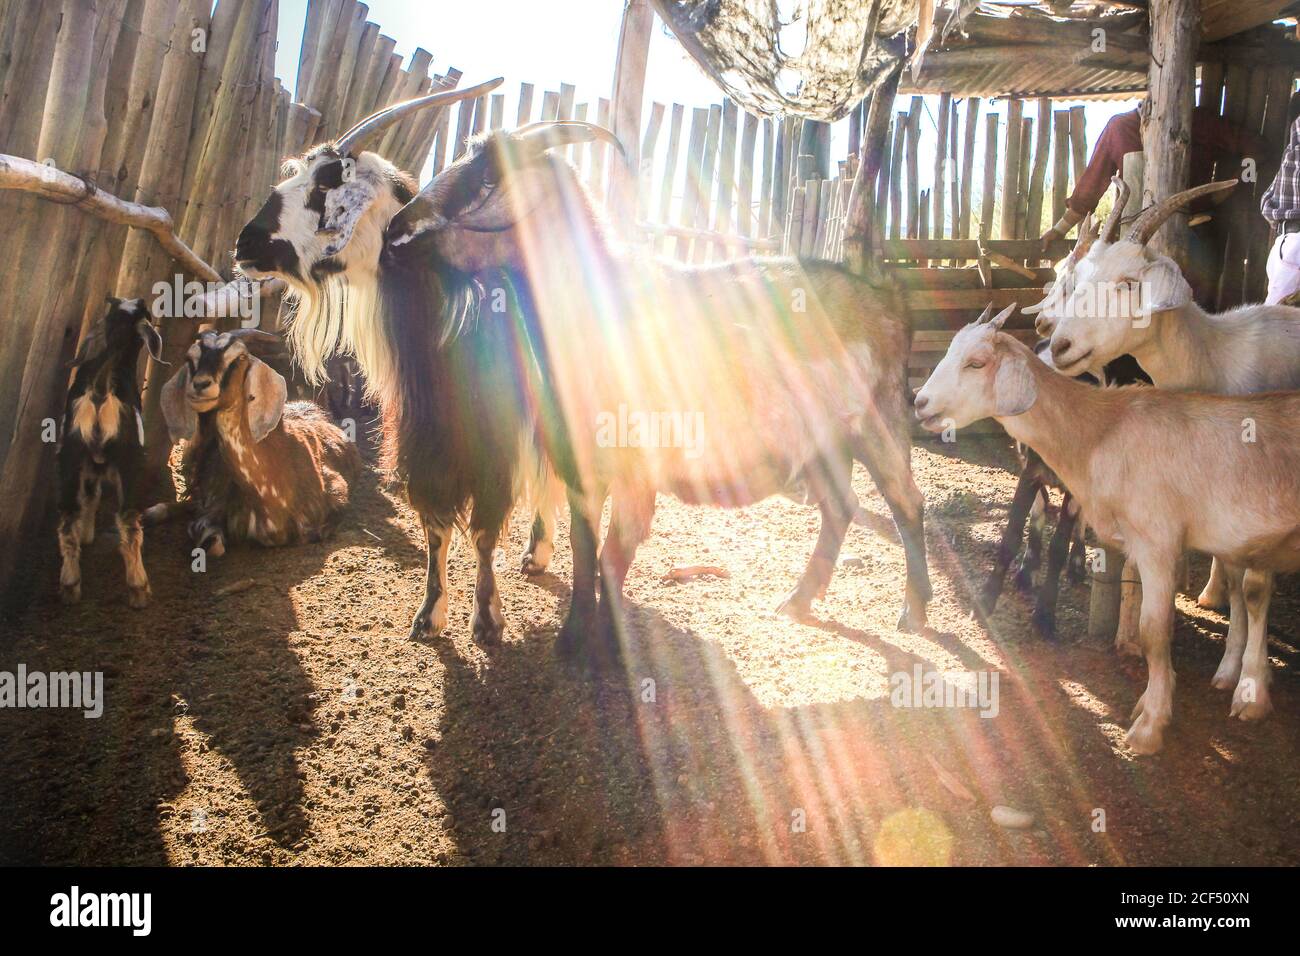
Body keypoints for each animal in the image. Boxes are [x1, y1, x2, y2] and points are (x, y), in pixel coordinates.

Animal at [57, 297, 164, 608]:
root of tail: (100, 390)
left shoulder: (88, 463)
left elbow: (90, 496)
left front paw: (87, 534)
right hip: (128, 462)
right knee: (128, 519)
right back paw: (139, 589)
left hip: (69, 459)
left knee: (67, 515)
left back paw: (70, 584)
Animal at [231, 79, 564, 641]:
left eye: (328, 179)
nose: (245, 243)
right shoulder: (420, 437)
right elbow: (434, 525)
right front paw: (429, 615)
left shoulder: (490, 440)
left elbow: (484, 527)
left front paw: (486, 618)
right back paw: (536, 555)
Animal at [383, 121, 932, 659]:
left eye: (488, 179)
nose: (395, 232)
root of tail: (886, 296)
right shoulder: (582, 470)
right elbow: (585, 552)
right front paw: (575, 639)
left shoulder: (635, 473)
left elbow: (612, 559)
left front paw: (608, 645)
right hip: (823, 443)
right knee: (841, 507)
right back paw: (799, 599)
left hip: (878, 421)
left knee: (906, 501)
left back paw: (913, 610)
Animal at [915, 304, 1300, 753]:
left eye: (976, 362)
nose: (919, 401)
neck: (1102, 430)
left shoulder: (1157, 541)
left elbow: (1153, 632)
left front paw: (1150, 724)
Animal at [1037, 176, 1300, 693]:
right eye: (1080, 281)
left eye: (1128, 284)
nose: (1059, 345)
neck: (1216, 357)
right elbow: (1235, 576)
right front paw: (1230, 664)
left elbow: (1254, 585)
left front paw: (1248, 679)